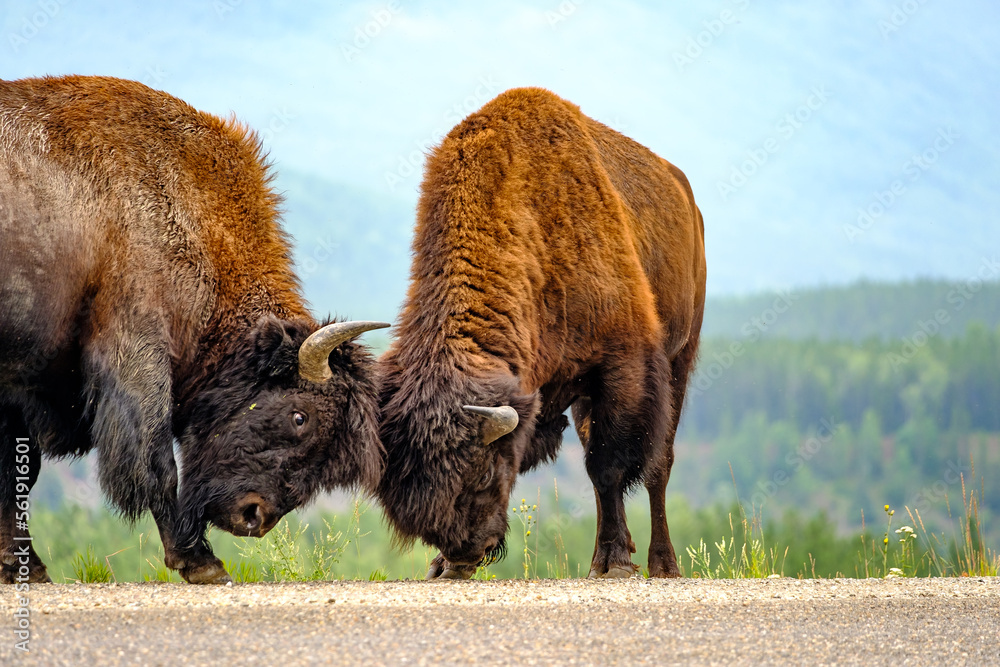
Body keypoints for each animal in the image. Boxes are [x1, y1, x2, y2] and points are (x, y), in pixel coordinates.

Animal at [0, 75, 386, 584]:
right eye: (300, 417)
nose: (253, 517)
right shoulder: (135, 356)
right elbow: (157, 463)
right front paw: (202, 562)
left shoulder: (17, 388)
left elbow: (16, 473)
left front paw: (22, 565)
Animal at [377, 88, 706, 579]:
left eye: (482, 472)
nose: (464, 553)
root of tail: (688, 200)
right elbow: (595, 468)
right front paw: (438, 565)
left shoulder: (622, 368)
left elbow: (609, 467)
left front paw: (617, 563)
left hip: (680, 356)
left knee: (657, 465)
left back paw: (660, 564)